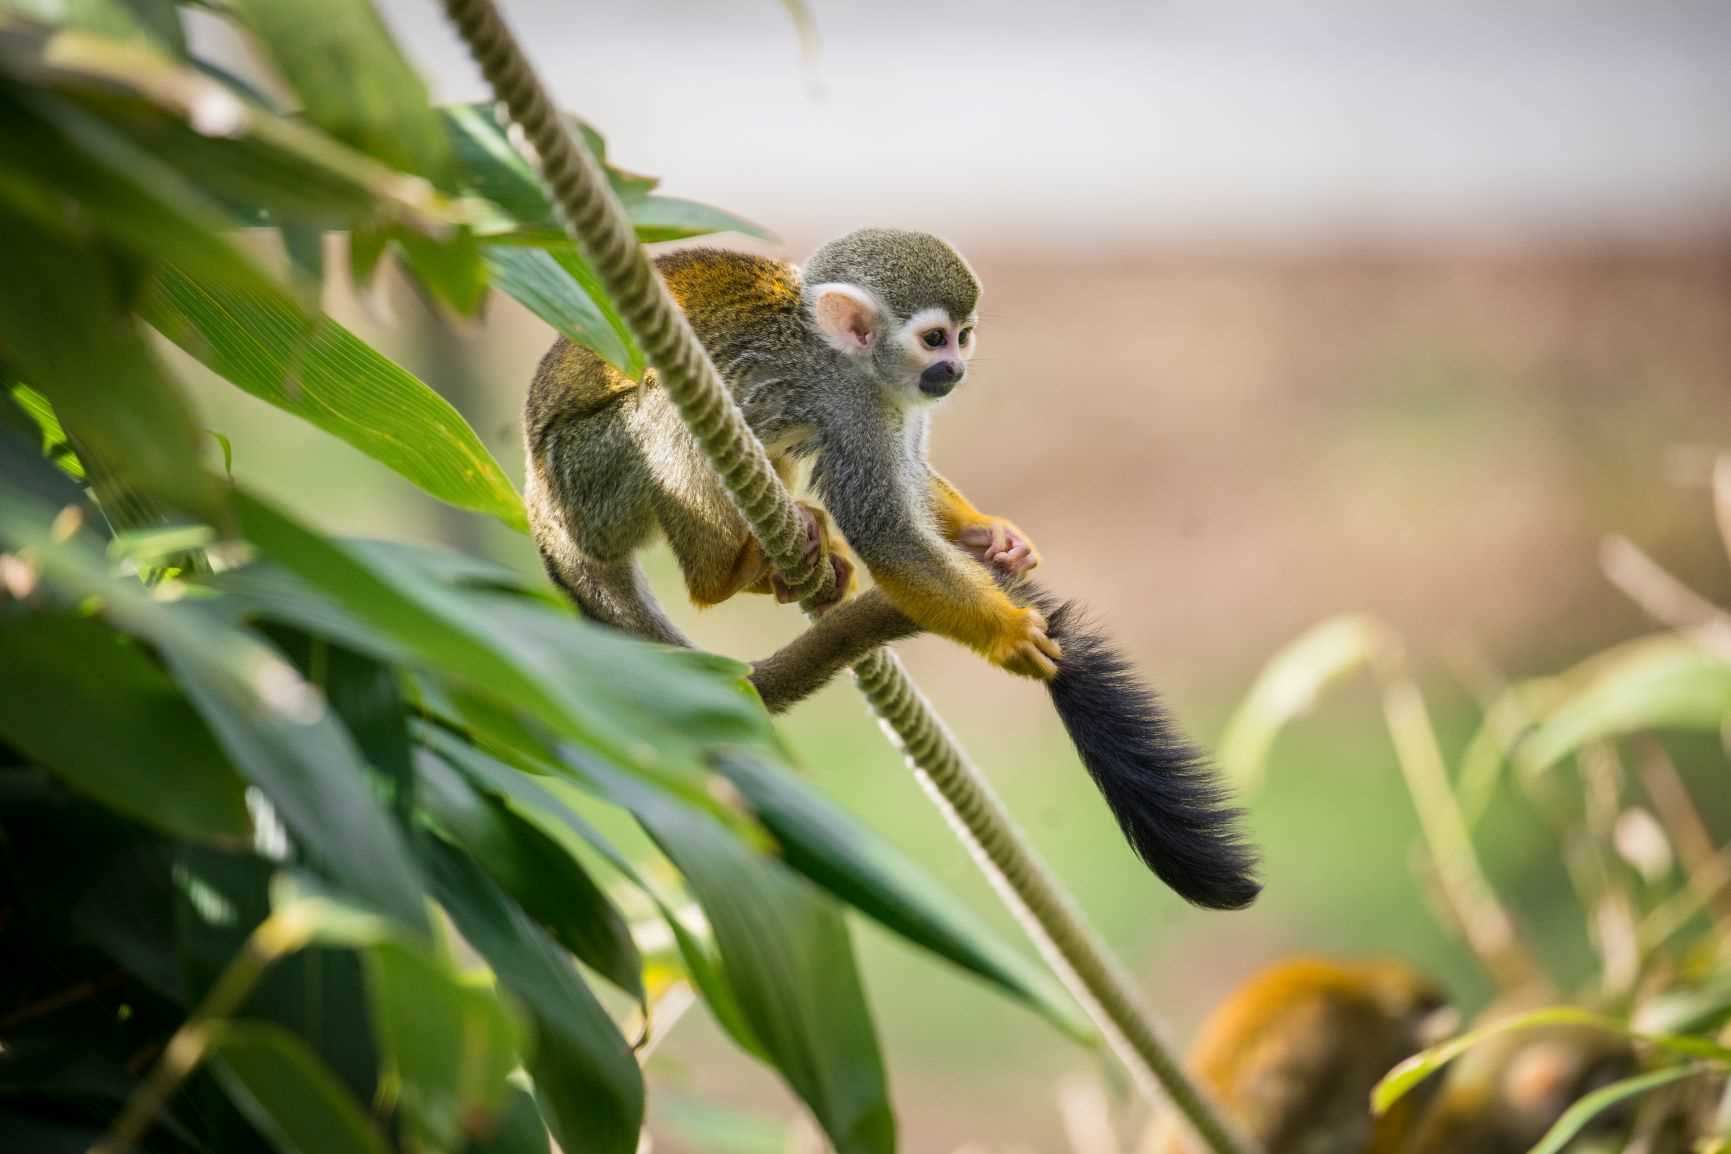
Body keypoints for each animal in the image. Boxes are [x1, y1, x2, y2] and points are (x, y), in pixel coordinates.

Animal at [524, 227, 1259, 910]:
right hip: (591, 479)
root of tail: (542, 513)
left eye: (963, 336)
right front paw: (1008, 633)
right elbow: (886, 533)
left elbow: (910, 484)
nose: (955, 368)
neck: (848, 357)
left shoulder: (893, 402)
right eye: (934, 339)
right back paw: (722, 575)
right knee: (661, 413)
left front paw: (988, 533)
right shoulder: (853, 405)